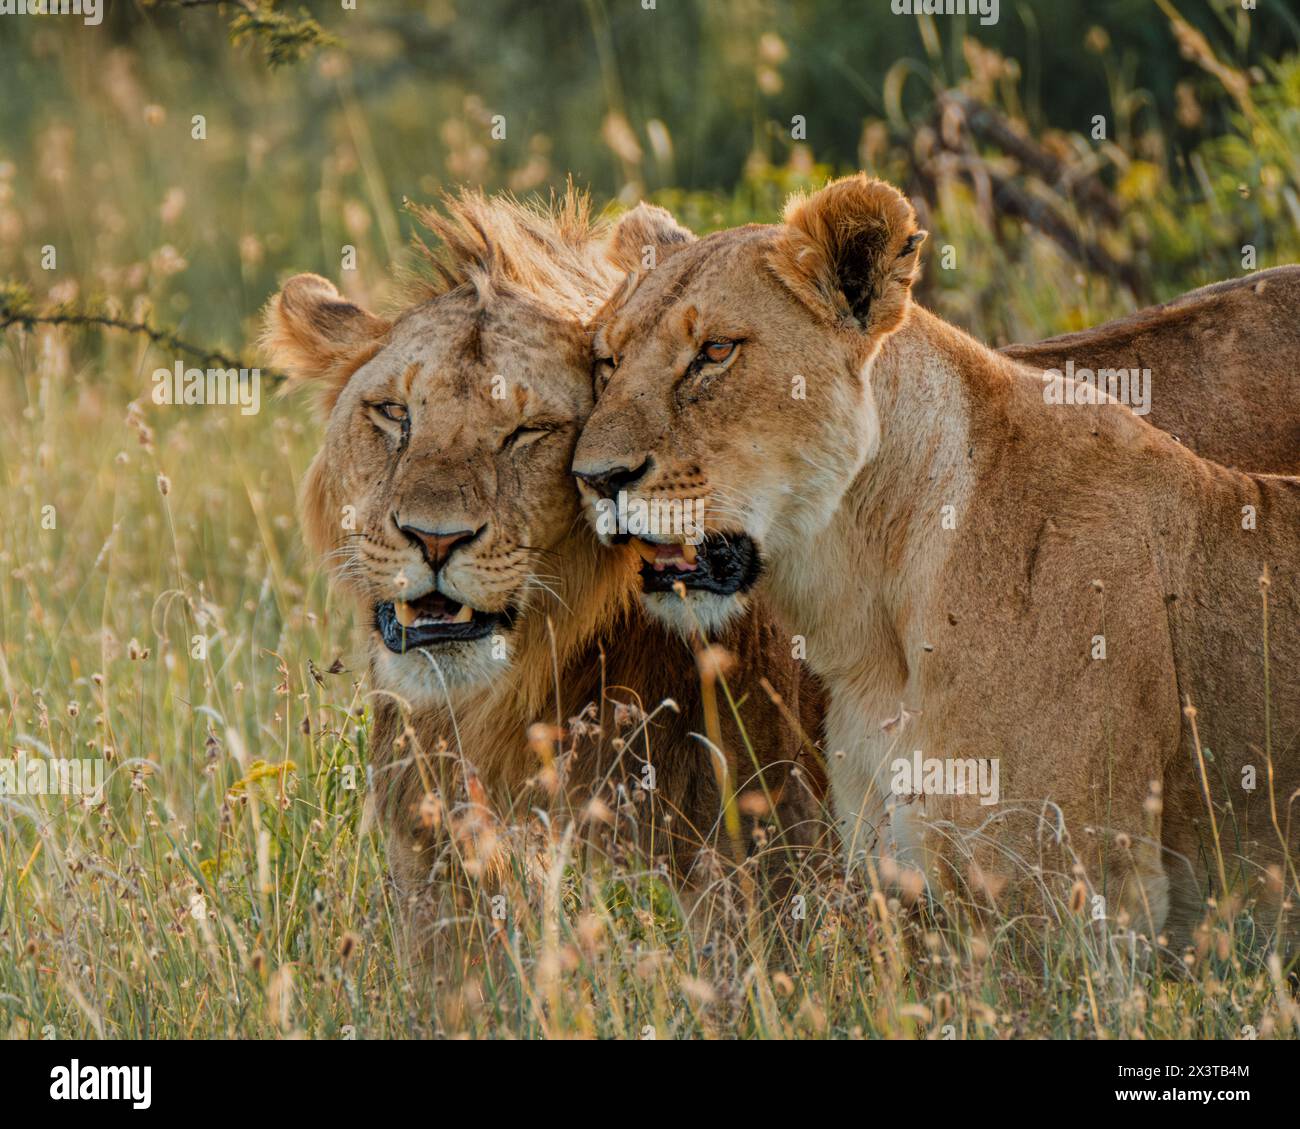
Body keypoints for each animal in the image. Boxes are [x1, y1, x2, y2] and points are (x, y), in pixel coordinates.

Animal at [572, 174, 1300, 948]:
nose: (595, 478)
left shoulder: (1081, 900)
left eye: (714, 351)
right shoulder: (902, 883)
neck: (869, 603)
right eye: (607, 362)